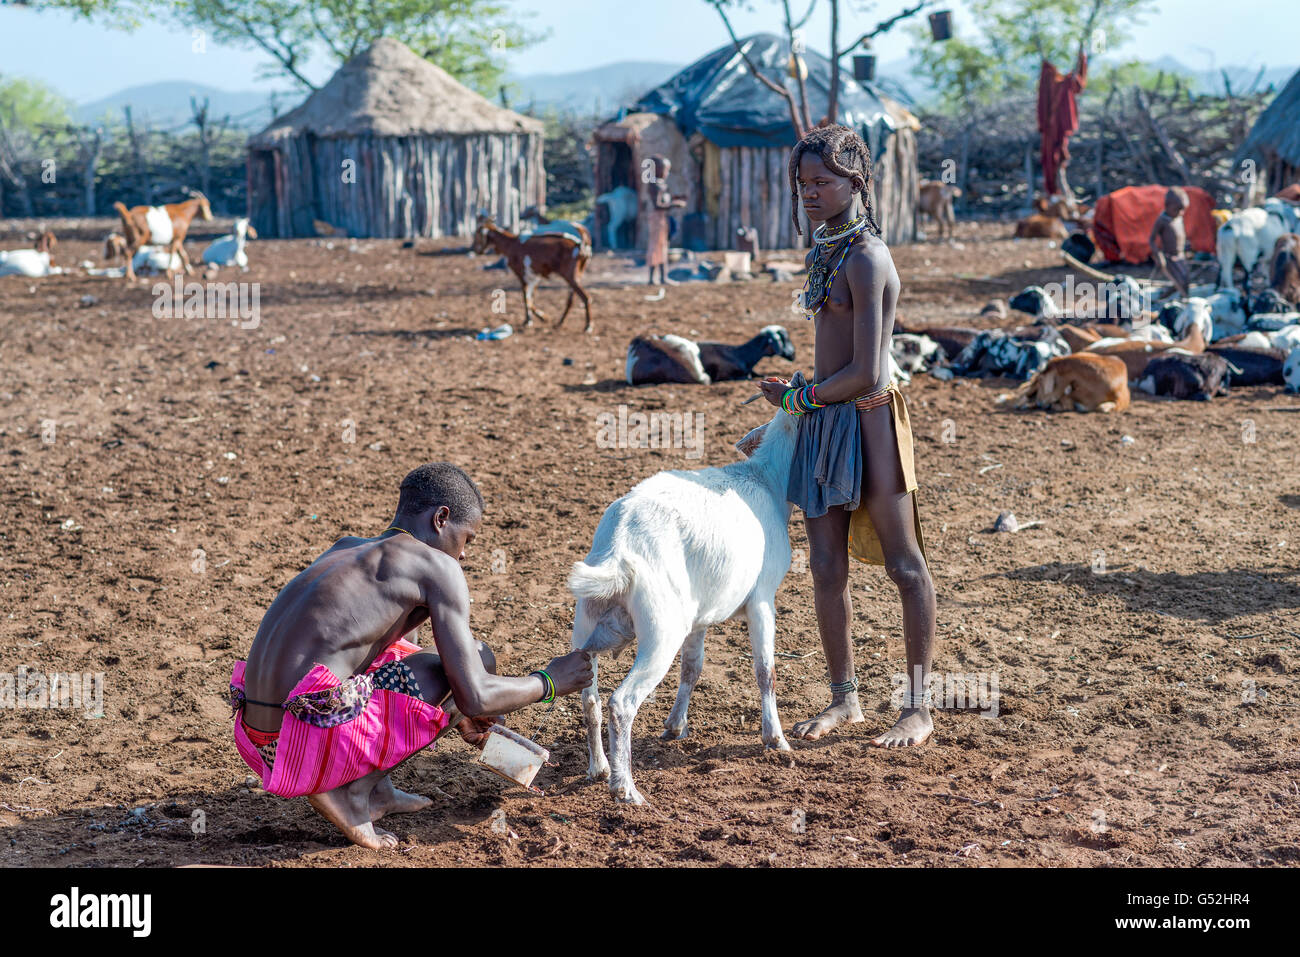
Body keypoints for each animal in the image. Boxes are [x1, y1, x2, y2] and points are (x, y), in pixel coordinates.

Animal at [568, 404, 799, 804]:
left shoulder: (700, 617)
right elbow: (765, 671)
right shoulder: (762, 598)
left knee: (590, 700)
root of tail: (619, 548)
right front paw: (776, 739)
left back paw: (599, 769)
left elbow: (692, 668)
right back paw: (626, 789)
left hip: (585, 625)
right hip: (660, 633)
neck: (766, 479)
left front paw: (675, 727)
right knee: (621, 704)